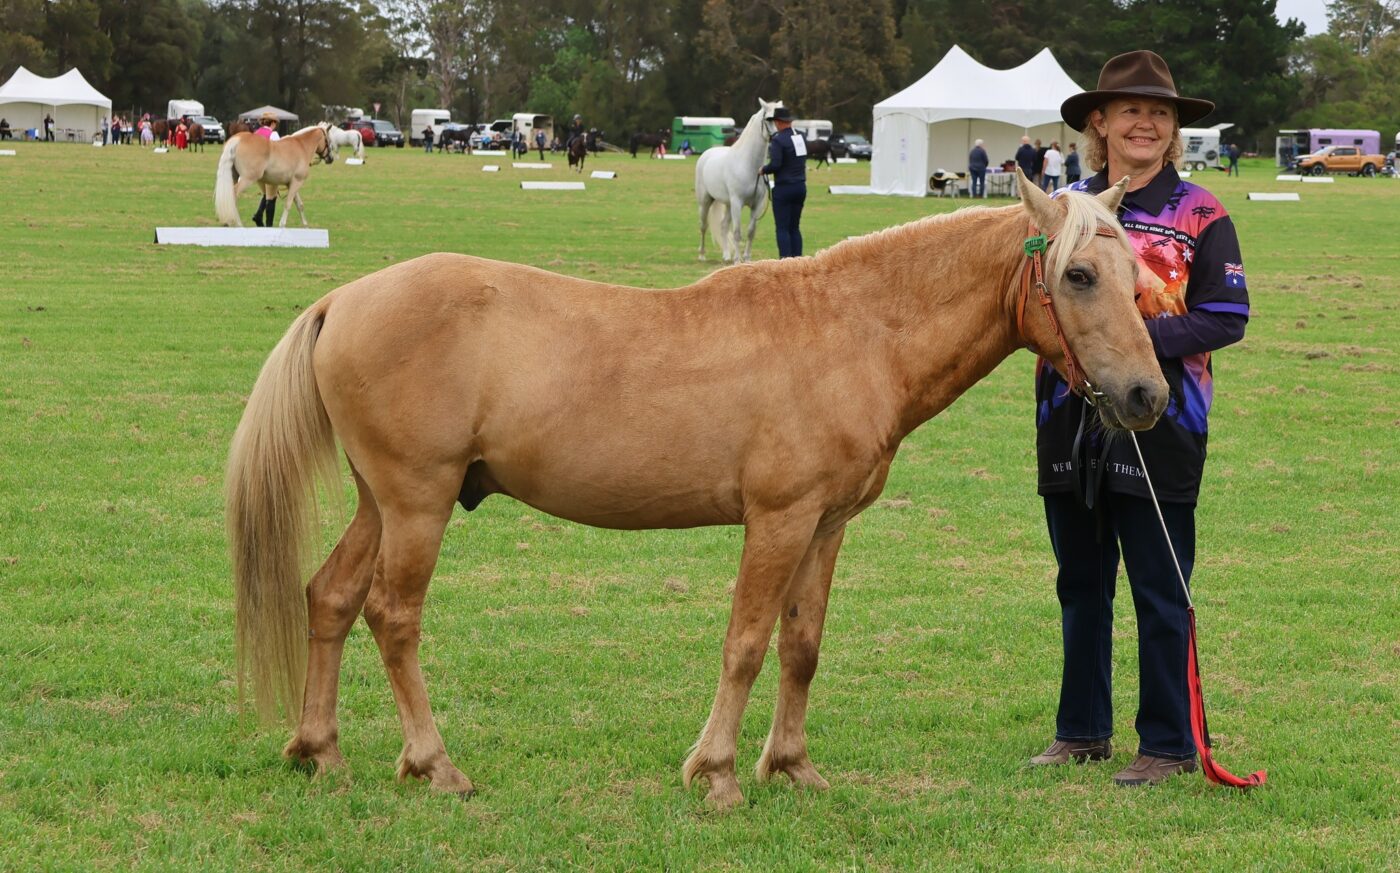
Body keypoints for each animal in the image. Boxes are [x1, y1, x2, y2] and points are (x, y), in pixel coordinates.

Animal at [225, 171, 1168, 810]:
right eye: (1079, 275)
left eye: (1139, 279)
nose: (1146, 396)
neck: (851, 329)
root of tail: (342, 299)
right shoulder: (778, 521)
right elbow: (745, 642)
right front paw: (716, 772)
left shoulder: (826, 526)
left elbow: (801, 645)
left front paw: (791, 765)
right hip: (416, 504)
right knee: (393, 615)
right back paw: (434, 764)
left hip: (379, 504)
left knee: (331, 596)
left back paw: (319, 750)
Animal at [696, 99, 782, 263]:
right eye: (769, 119)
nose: (778, 137)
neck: (749, 166)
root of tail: (706, 154)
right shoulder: (737, 202)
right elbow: (736, 232)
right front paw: (737, 260)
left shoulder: (756, 205)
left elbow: (750, 232)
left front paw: (746, 259)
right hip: (706, 201)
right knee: (703, 226)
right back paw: (702, 255)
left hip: (728, 204)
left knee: (723, 226)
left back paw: (726, 255)